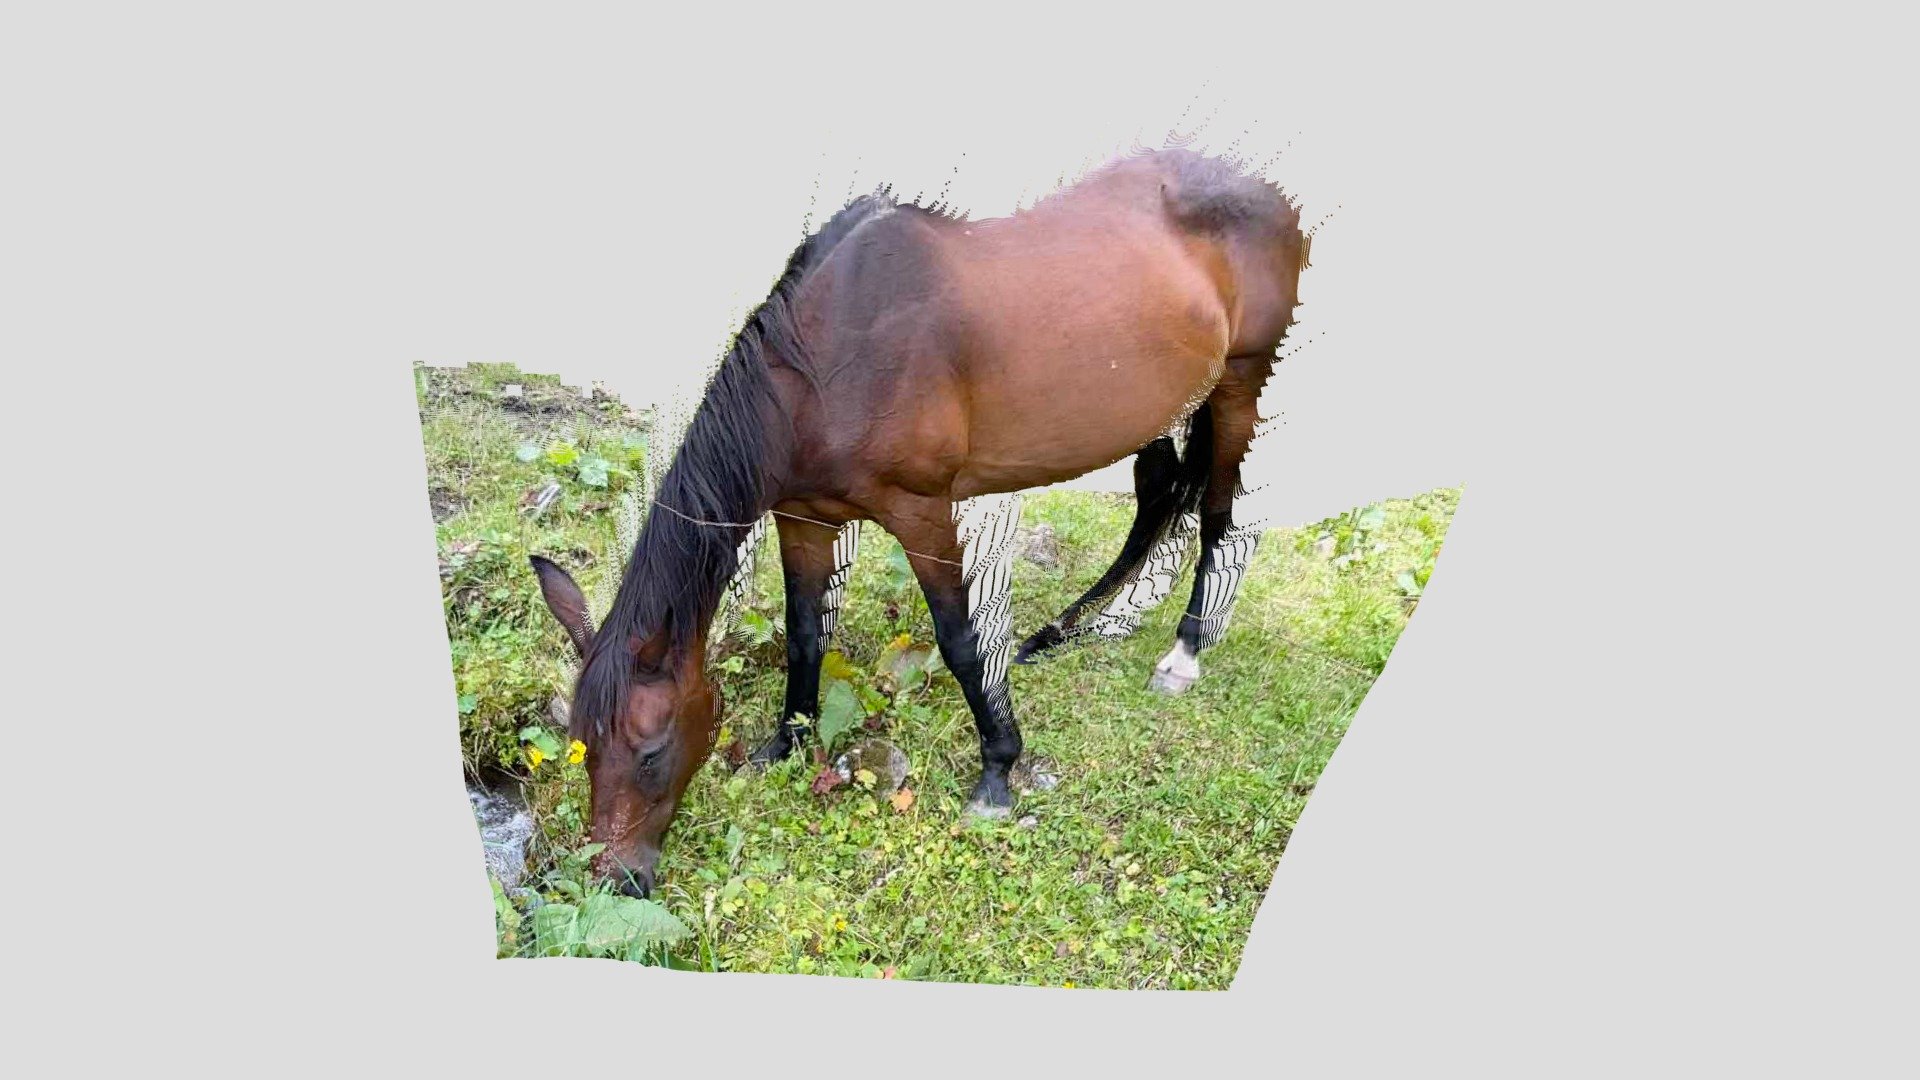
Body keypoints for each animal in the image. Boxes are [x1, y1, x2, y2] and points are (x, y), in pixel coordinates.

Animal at [528, 147, 1308, 897]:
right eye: (583, 750)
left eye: (651, 752)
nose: (616, 879)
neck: (827, 359)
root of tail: (1269, 193)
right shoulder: (803, 516)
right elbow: (805, 632)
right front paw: (786, 741)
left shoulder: (923, 512)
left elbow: (959, 642)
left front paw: (997, 770)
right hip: (1154, 403)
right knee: (1157, 501)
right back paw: (1063, 632)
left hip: (1239, 381)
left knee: (1217, 516)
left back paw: (1183, 653)